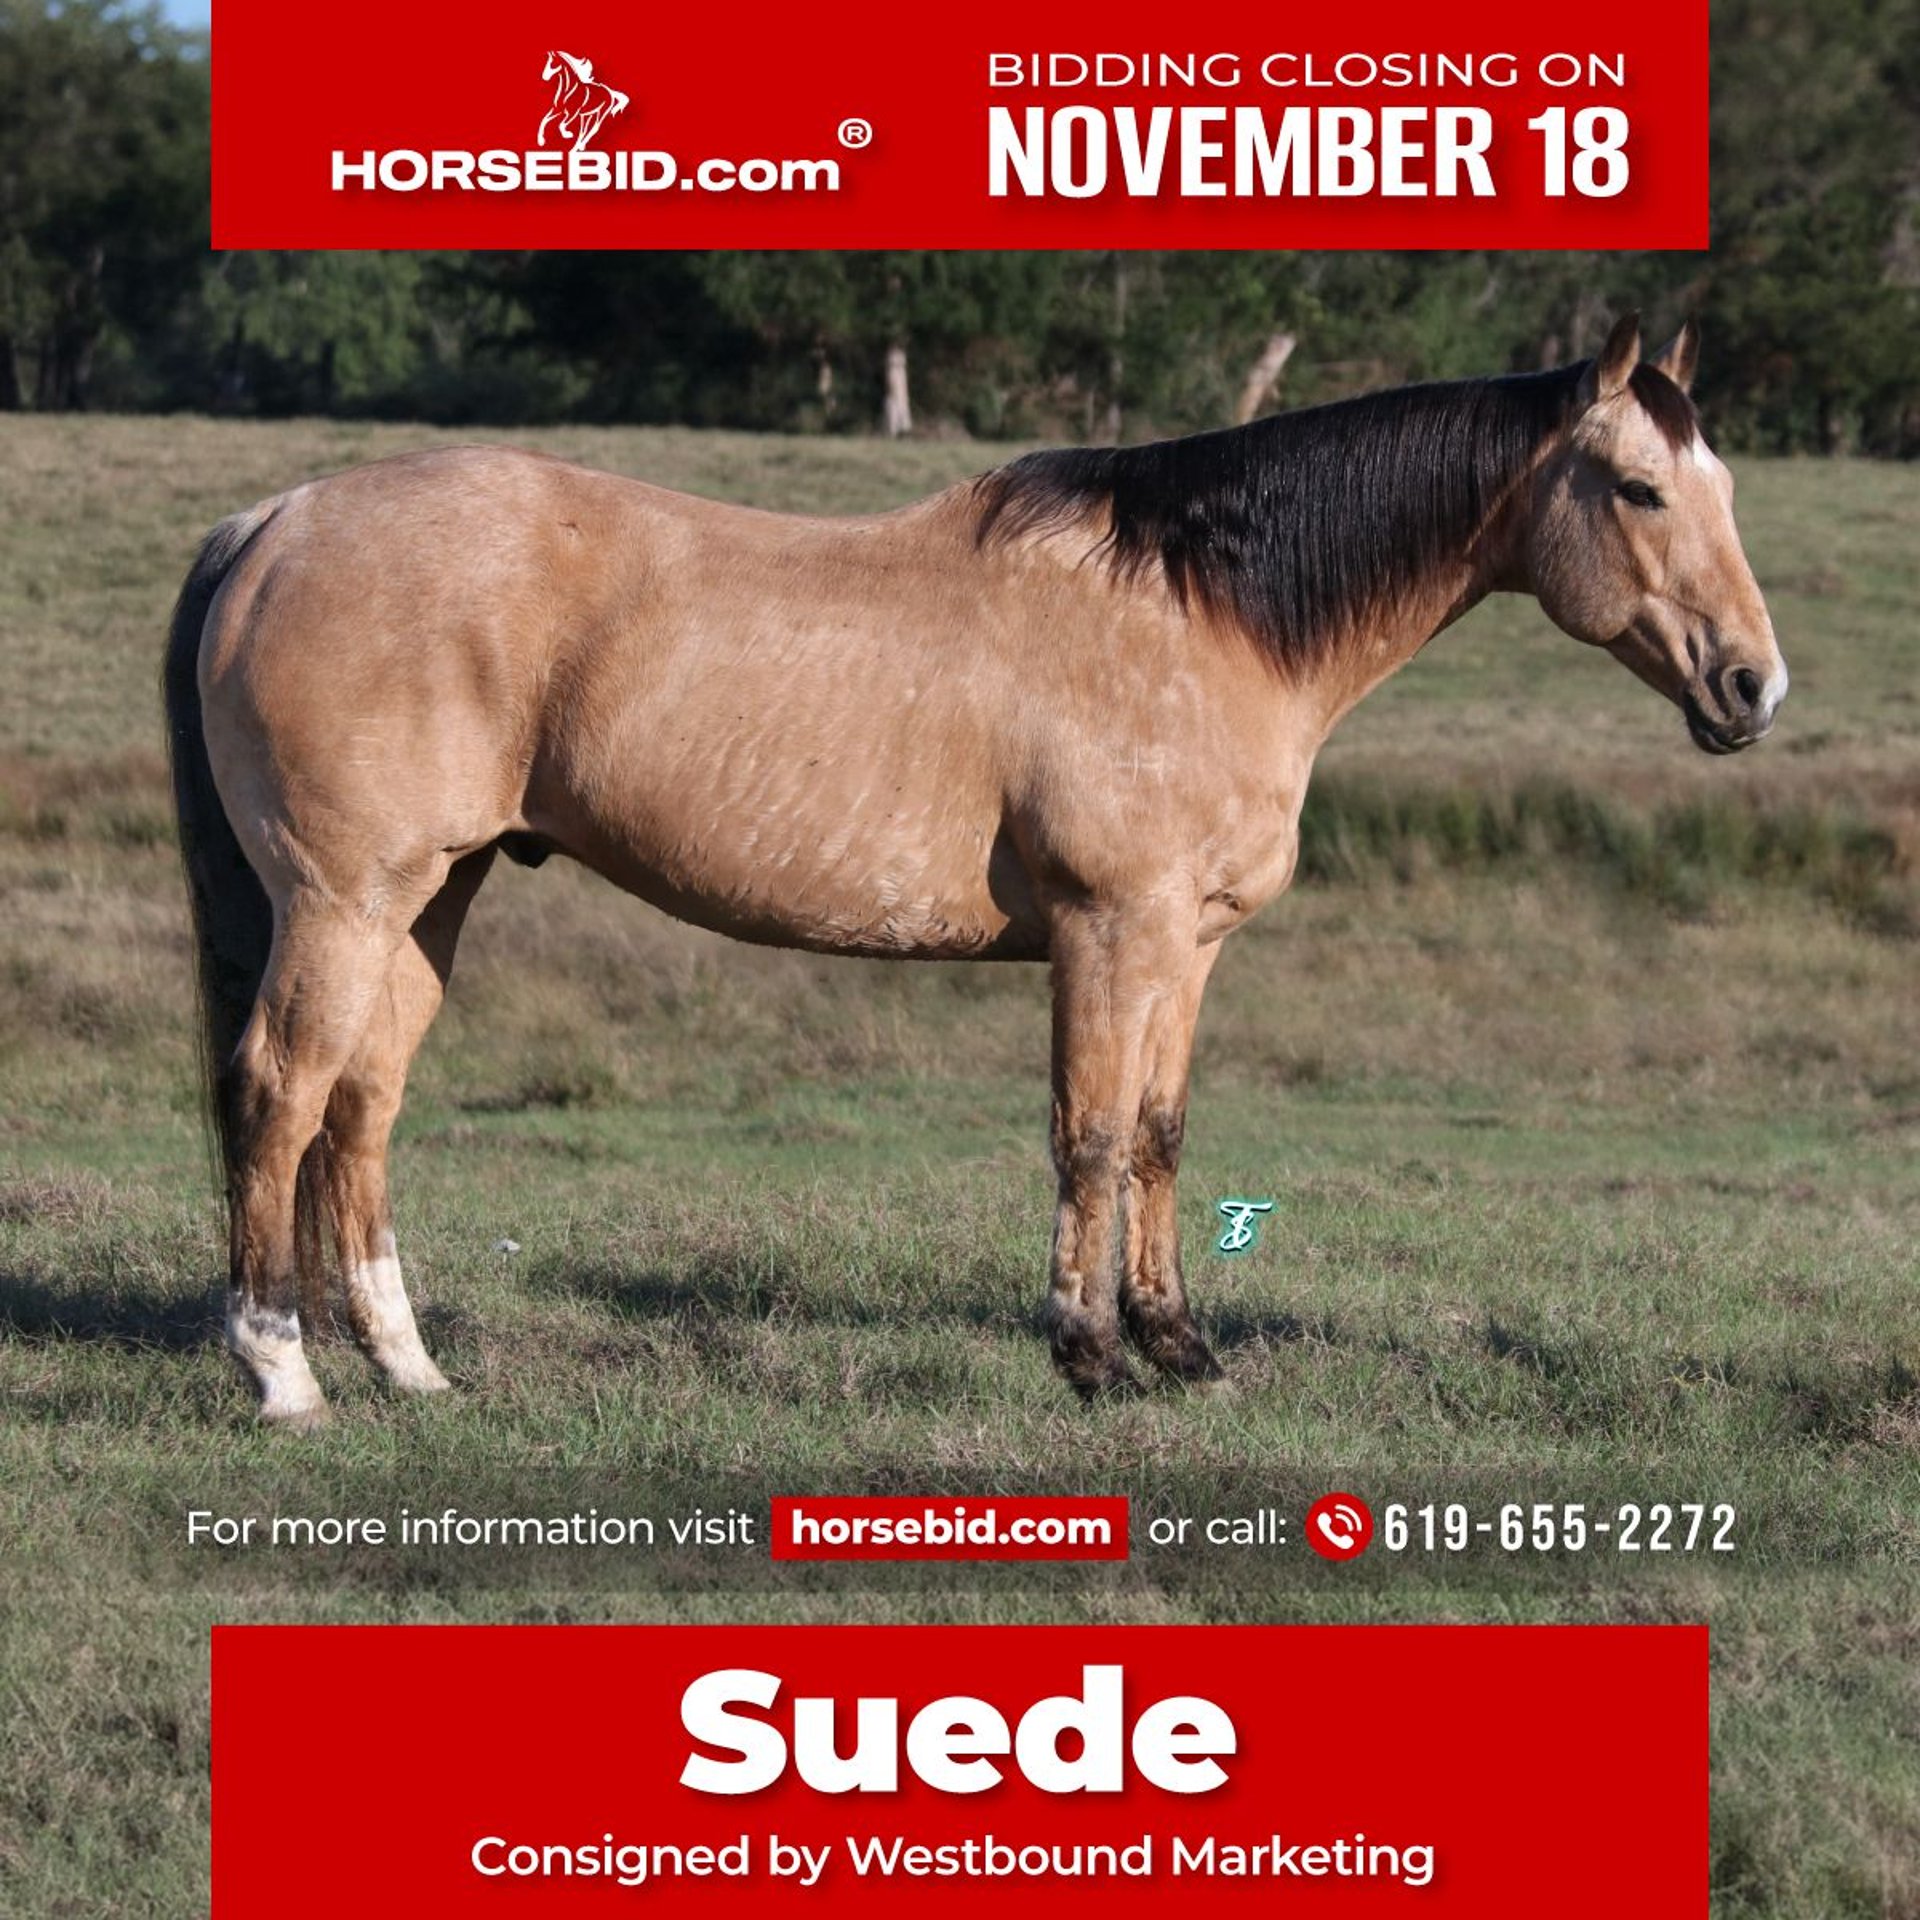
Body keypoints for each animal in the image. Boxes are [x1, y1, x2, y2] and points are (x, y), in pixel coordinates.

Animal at [163, 314, 1786, 1427]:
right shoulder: (1108, 936)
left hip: (432, 897)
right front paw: (1089, 1356)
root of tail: (276, 519)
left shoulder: (1188, 947)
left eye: (1723, 486)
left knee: (361, 1110)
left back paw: (411, 1370)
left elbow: (1160, 1138)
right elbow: (1088, 1136)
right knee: (280, 1093)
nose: (1753, 688)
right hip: (346, 899)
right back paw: (286, 1376)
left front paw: (1183, 1350)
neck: (1206, 611)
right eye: (1638, 491)